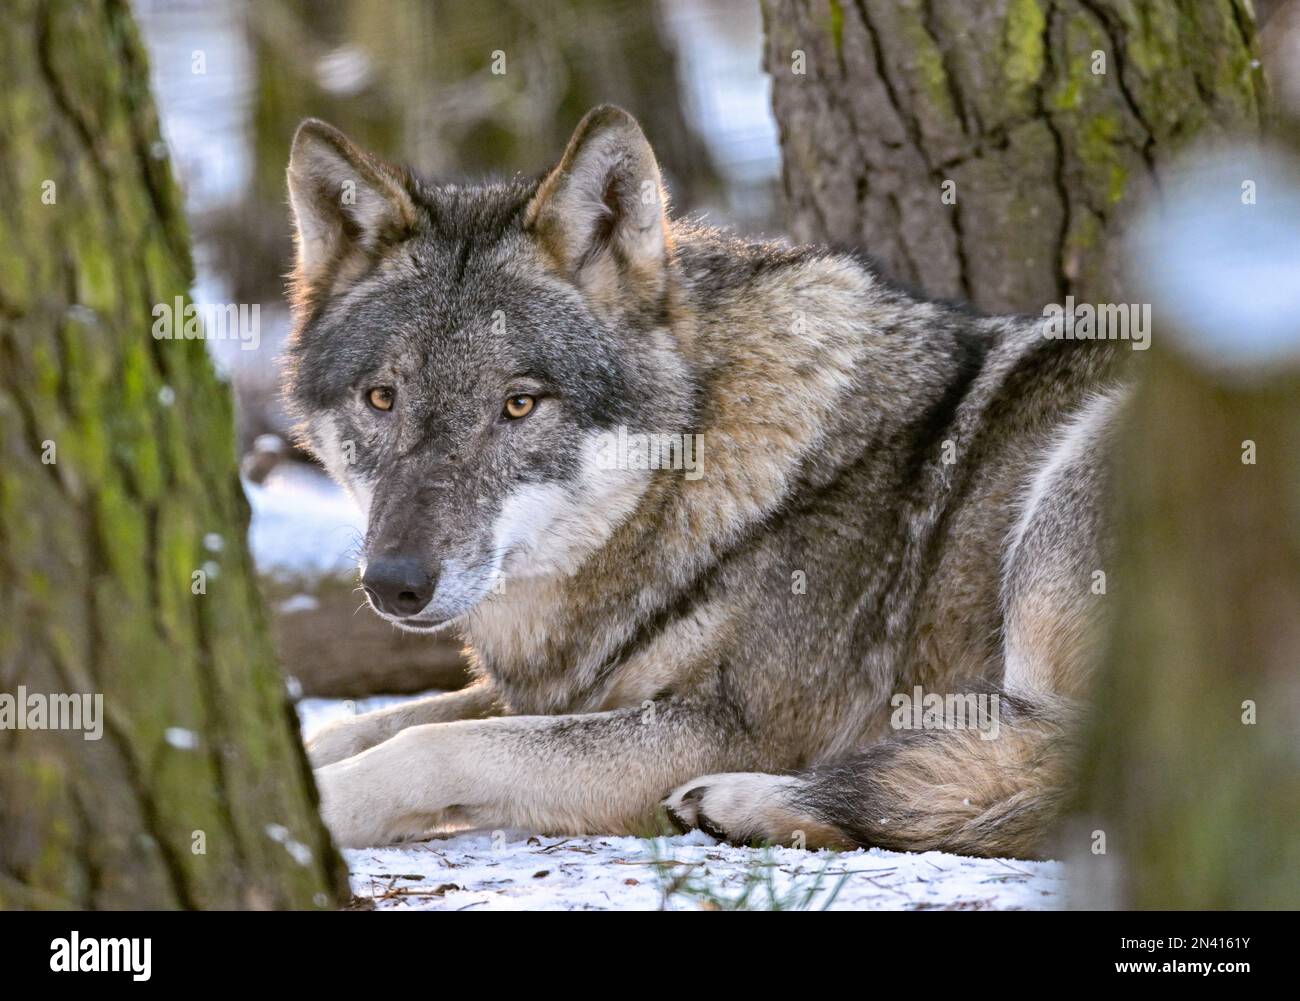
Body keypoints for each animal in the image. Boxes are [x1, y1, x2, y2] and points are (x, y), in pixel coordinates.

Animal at [285, 105, 1129, 857]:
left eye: (518, 404)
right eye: (382, 398)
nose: (393, 583)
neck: (689, 481)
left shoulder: (725, 726)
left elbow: (435, 744)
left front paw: (314, 816)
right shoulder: (581, 687)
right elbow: (364, 724)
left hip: (1071, 485)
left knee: (1049, 767)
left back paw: (750, 801)